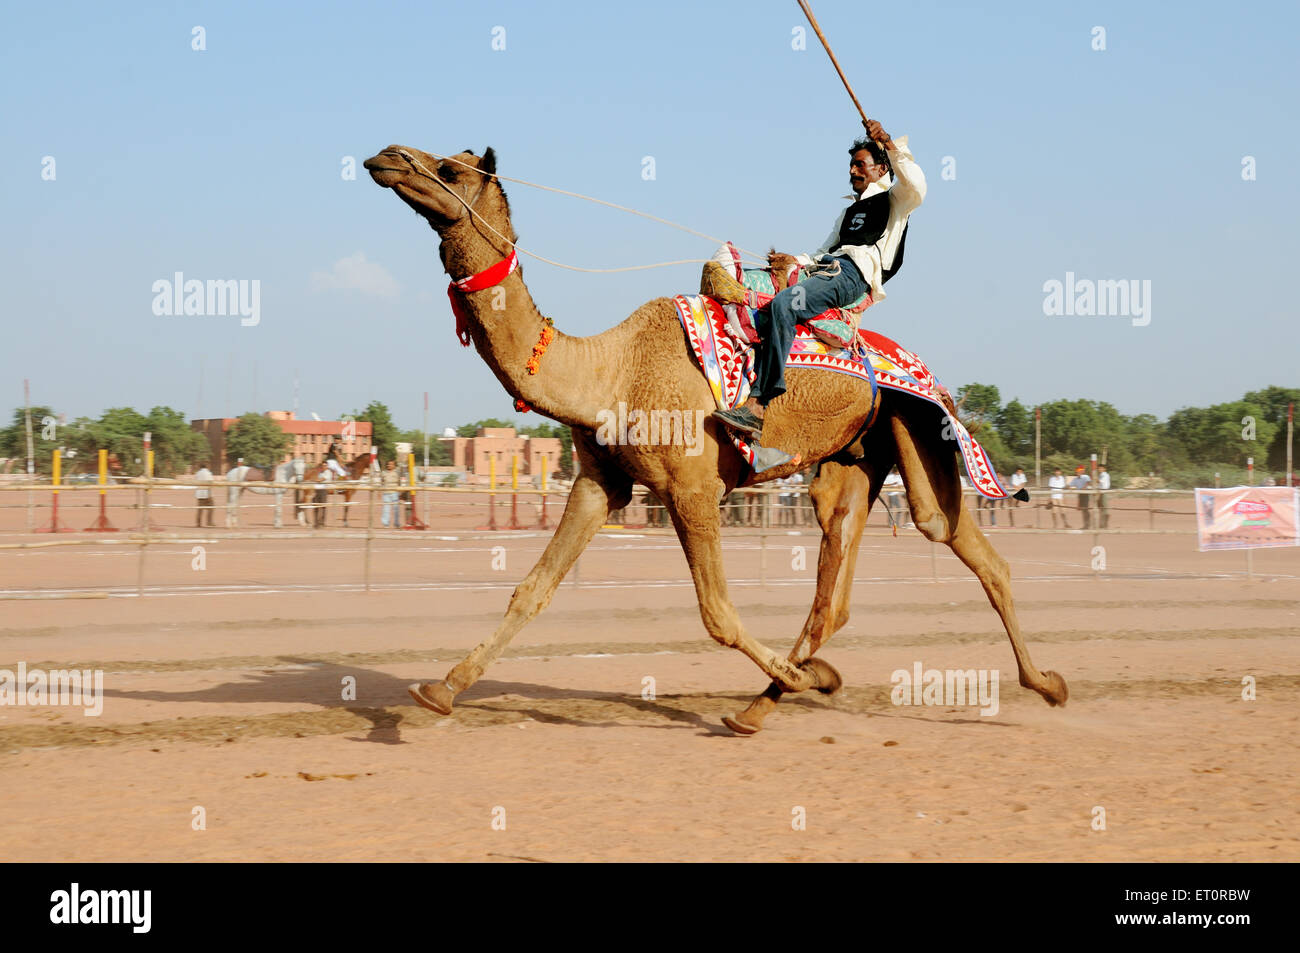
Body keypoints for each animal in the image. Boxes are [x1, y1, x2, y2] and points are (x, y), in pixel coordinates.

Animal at [364, 144, 1068, 734]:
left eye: (450, 170)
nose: (386, 156)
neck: (612, 368)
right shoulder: (600, 482)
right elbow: (531, 590)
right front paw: (439, 690)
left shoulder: (693, 488)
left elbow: (718, 613)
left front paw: (806, 681)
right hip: (855, 460)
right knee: (834, 591)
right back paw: (768, 702)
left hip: (918, 429)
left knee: (958, 541)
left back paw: (1045, 685)